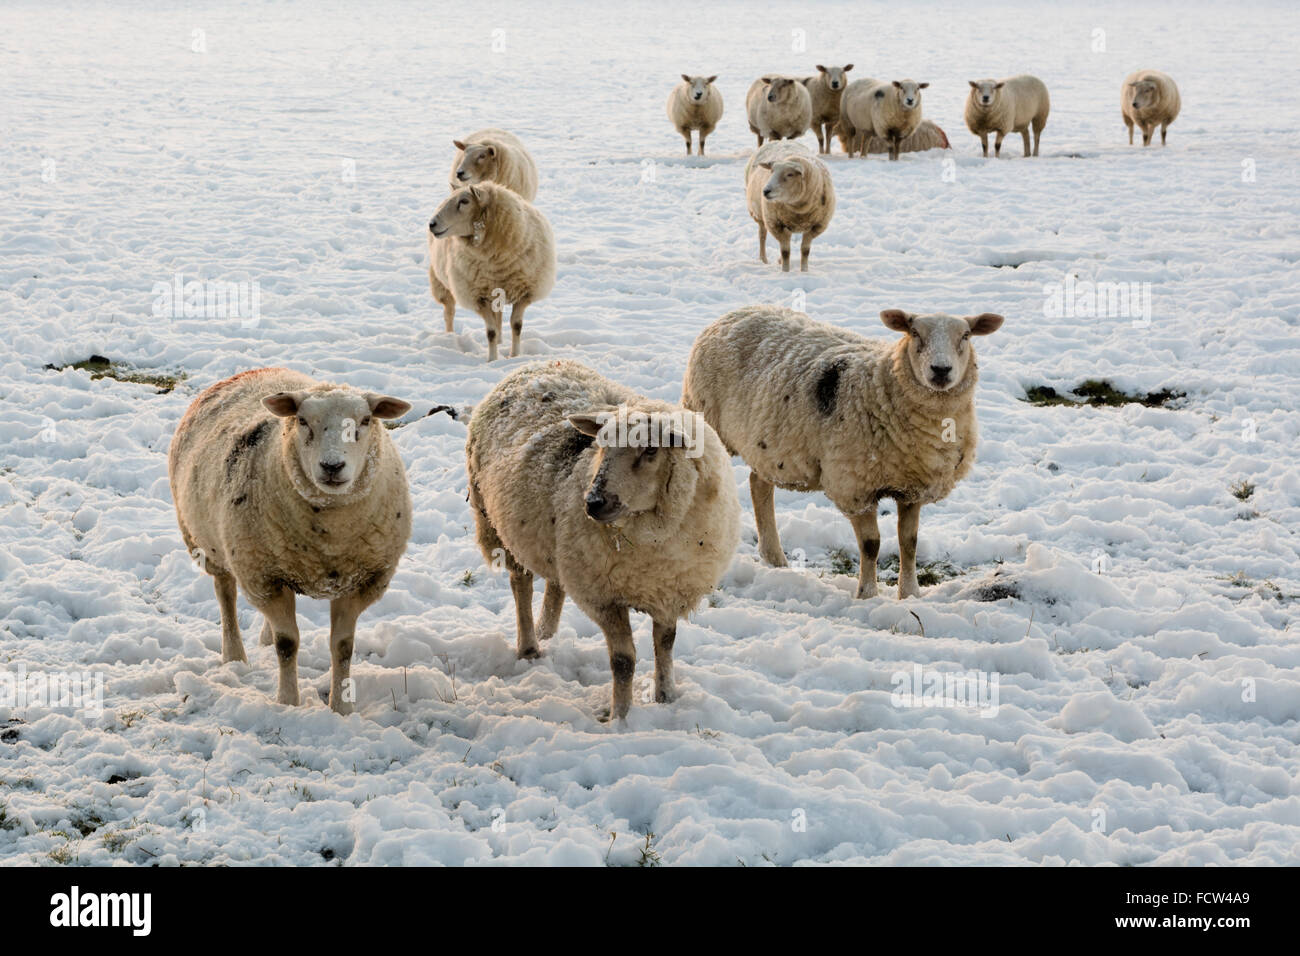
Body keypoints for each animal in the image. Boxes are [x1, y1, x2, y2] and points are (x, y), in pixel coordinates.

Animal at [167, 367, 413, 714]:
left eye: (365, 420)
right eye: (302, 421)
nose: (332, 466)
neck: (329, 538)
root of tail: (256, 370)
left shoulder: (359, 581)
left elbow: (343, 647)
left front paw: (341, 708)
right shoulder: (264, 576)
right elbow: (287, 645)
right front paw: (288, 702)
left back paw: (264, 637)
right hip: (211, 545)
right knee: (225, 595)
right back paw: (234, 656)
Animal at [428, 182, 556, 362]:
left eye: (464, 201)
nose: (432, 224)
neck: (497, 262)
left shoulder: (525, 293)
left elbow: (516, 326)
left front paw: (515, 355)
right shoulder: (478, 297)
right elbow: (491, 331)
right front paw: (492, 360)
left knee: (499, 315)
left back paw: (501, 341)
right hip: (442, 283)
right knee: (449, 313)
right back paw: (449, 336)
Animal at [465, 360, 740, 721]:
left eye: (651, 449)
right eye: (602, 446)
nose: (593, 502)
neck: (650, 542)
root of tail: (537, 363)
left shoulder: (669, 588)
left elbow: (665, 643)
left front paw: (666, 696)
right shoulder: (604, 598)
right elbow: (623, 661)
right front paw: (619, 717)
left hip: (557, 543)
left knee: (555, 584)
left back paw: (547, 633)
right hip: (498, 527)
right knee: (520, 585)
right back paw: (530, 646)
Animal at [682, 305, 1003, 600]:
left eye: (966, 335)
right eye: (914, 333)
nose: (940, 370)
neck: (884, 383)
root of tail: (737, 311)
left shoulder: (912, 487)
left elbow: (909, 542)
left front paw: (910, 594)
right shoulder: (855, 486)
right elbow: (871, 545)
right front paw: (867, 595)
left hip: (769, 445)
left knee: (759, 485)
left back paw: (775, 559)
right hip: (705, 422)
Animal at [743, 141, 835, 272]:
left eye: (790, 174)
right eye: (771, 171)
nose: (765, 191)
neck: (799, 209)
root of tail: (780, 141)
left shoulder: (817, 226)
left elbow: (805, 251)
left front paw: (804, 271)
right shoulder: (776, 224)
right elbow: (785, 252)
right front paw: (785, 271)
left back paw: (778, 260)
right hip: (760, 215)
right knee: (762, 236)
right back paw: (763, 259)